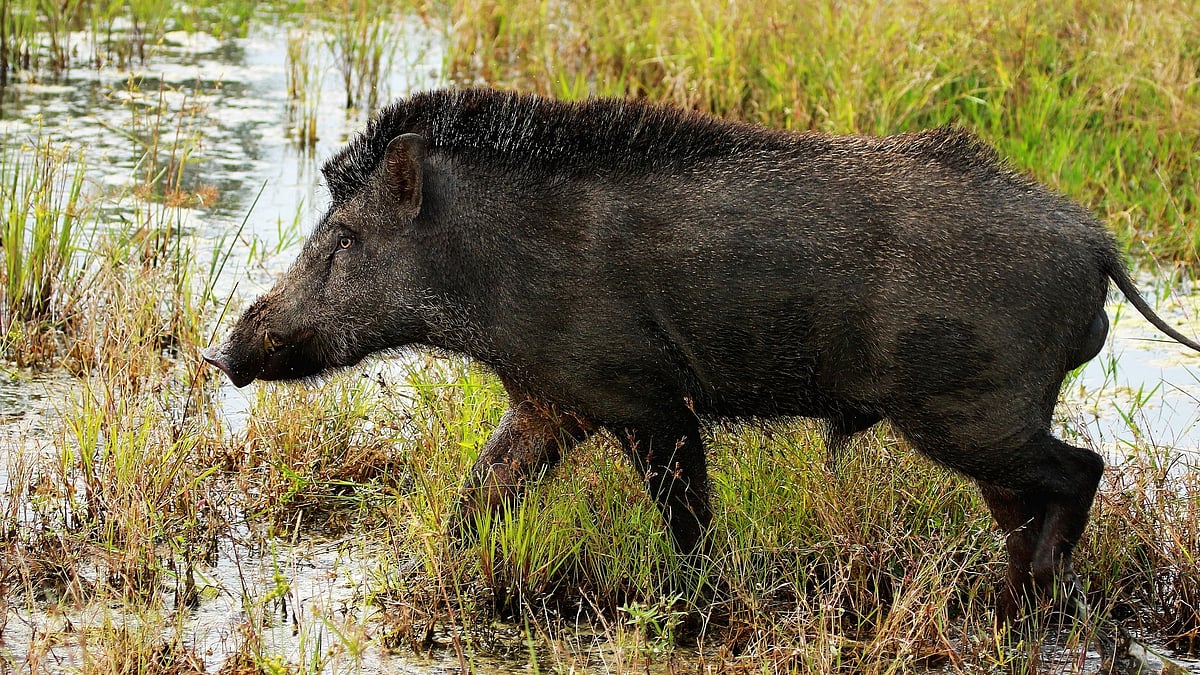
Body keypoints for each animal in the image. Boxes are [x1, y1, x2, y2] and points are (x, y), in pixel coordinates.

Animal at [203, 88, 1200, 625]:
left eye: (343, 238)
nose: (223, 352)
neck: (489, 267)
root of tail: (1099, 247)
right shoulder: (549, 403)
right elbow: (475, 498)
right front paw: (431, 573)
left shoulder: (648, 402)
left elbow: (688, 520)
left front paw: (698, 603)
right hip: (987, 419)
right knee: (1029, 505)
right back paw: (1012, 605)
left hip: (971, 410)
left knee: (1083, 469)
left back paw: (1034, 598)